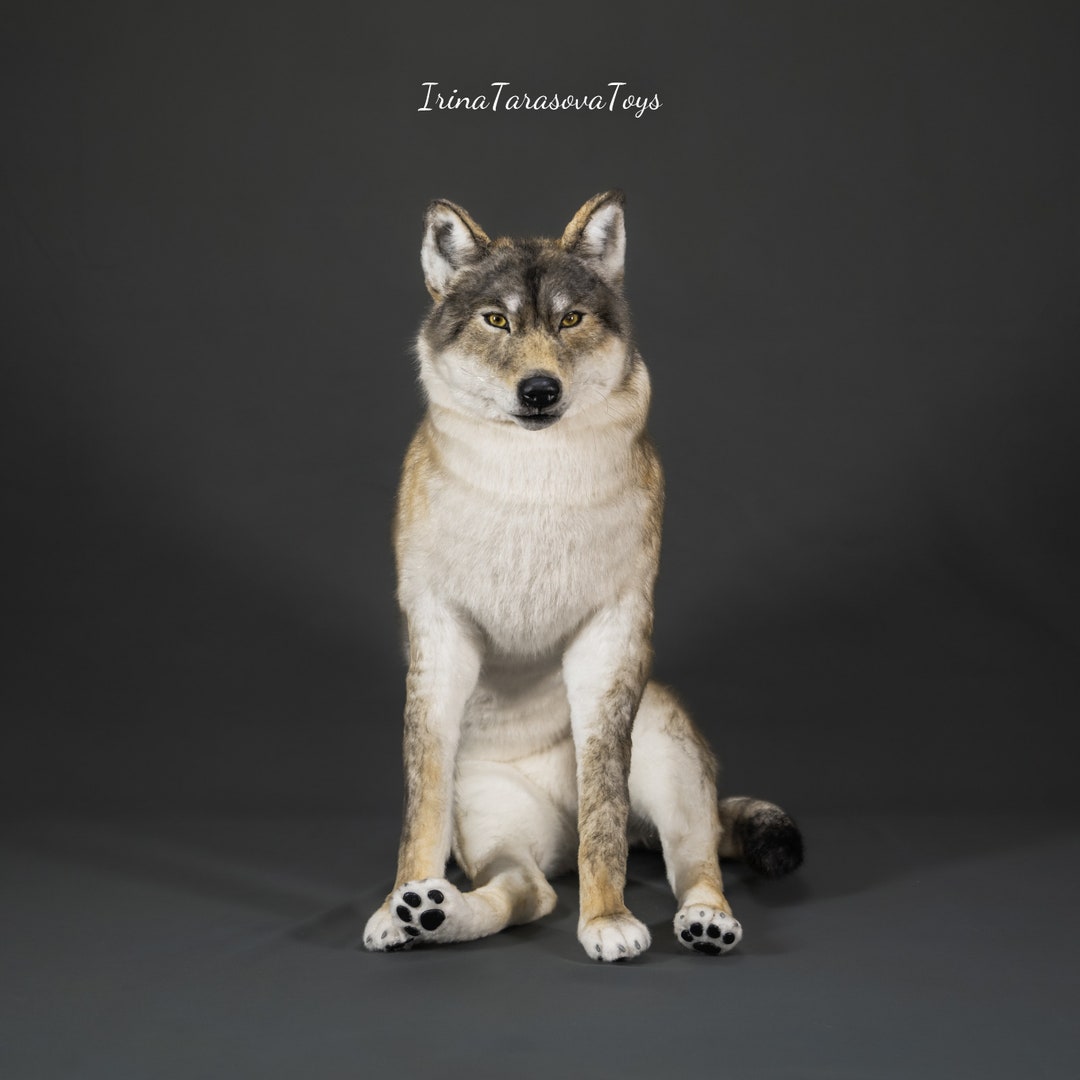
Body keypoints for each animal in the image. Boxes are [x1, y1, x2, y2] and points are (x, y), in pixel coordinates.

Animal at [363, 192, 803, 961]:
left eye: (570, 319)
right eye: (497, 320)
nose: (539, 391)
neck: (534, 487)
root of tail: (556, 842)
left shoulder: (610, 637)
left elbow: (605, 806)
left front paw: (605, 917)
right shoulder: (440, 636)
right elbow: (422, 805)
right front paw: (400, 902)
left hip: (669, 765)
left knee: (696, 863)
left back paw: (705, 923)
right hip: (496, 824)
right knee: (526, 892)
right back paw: (434, 912)